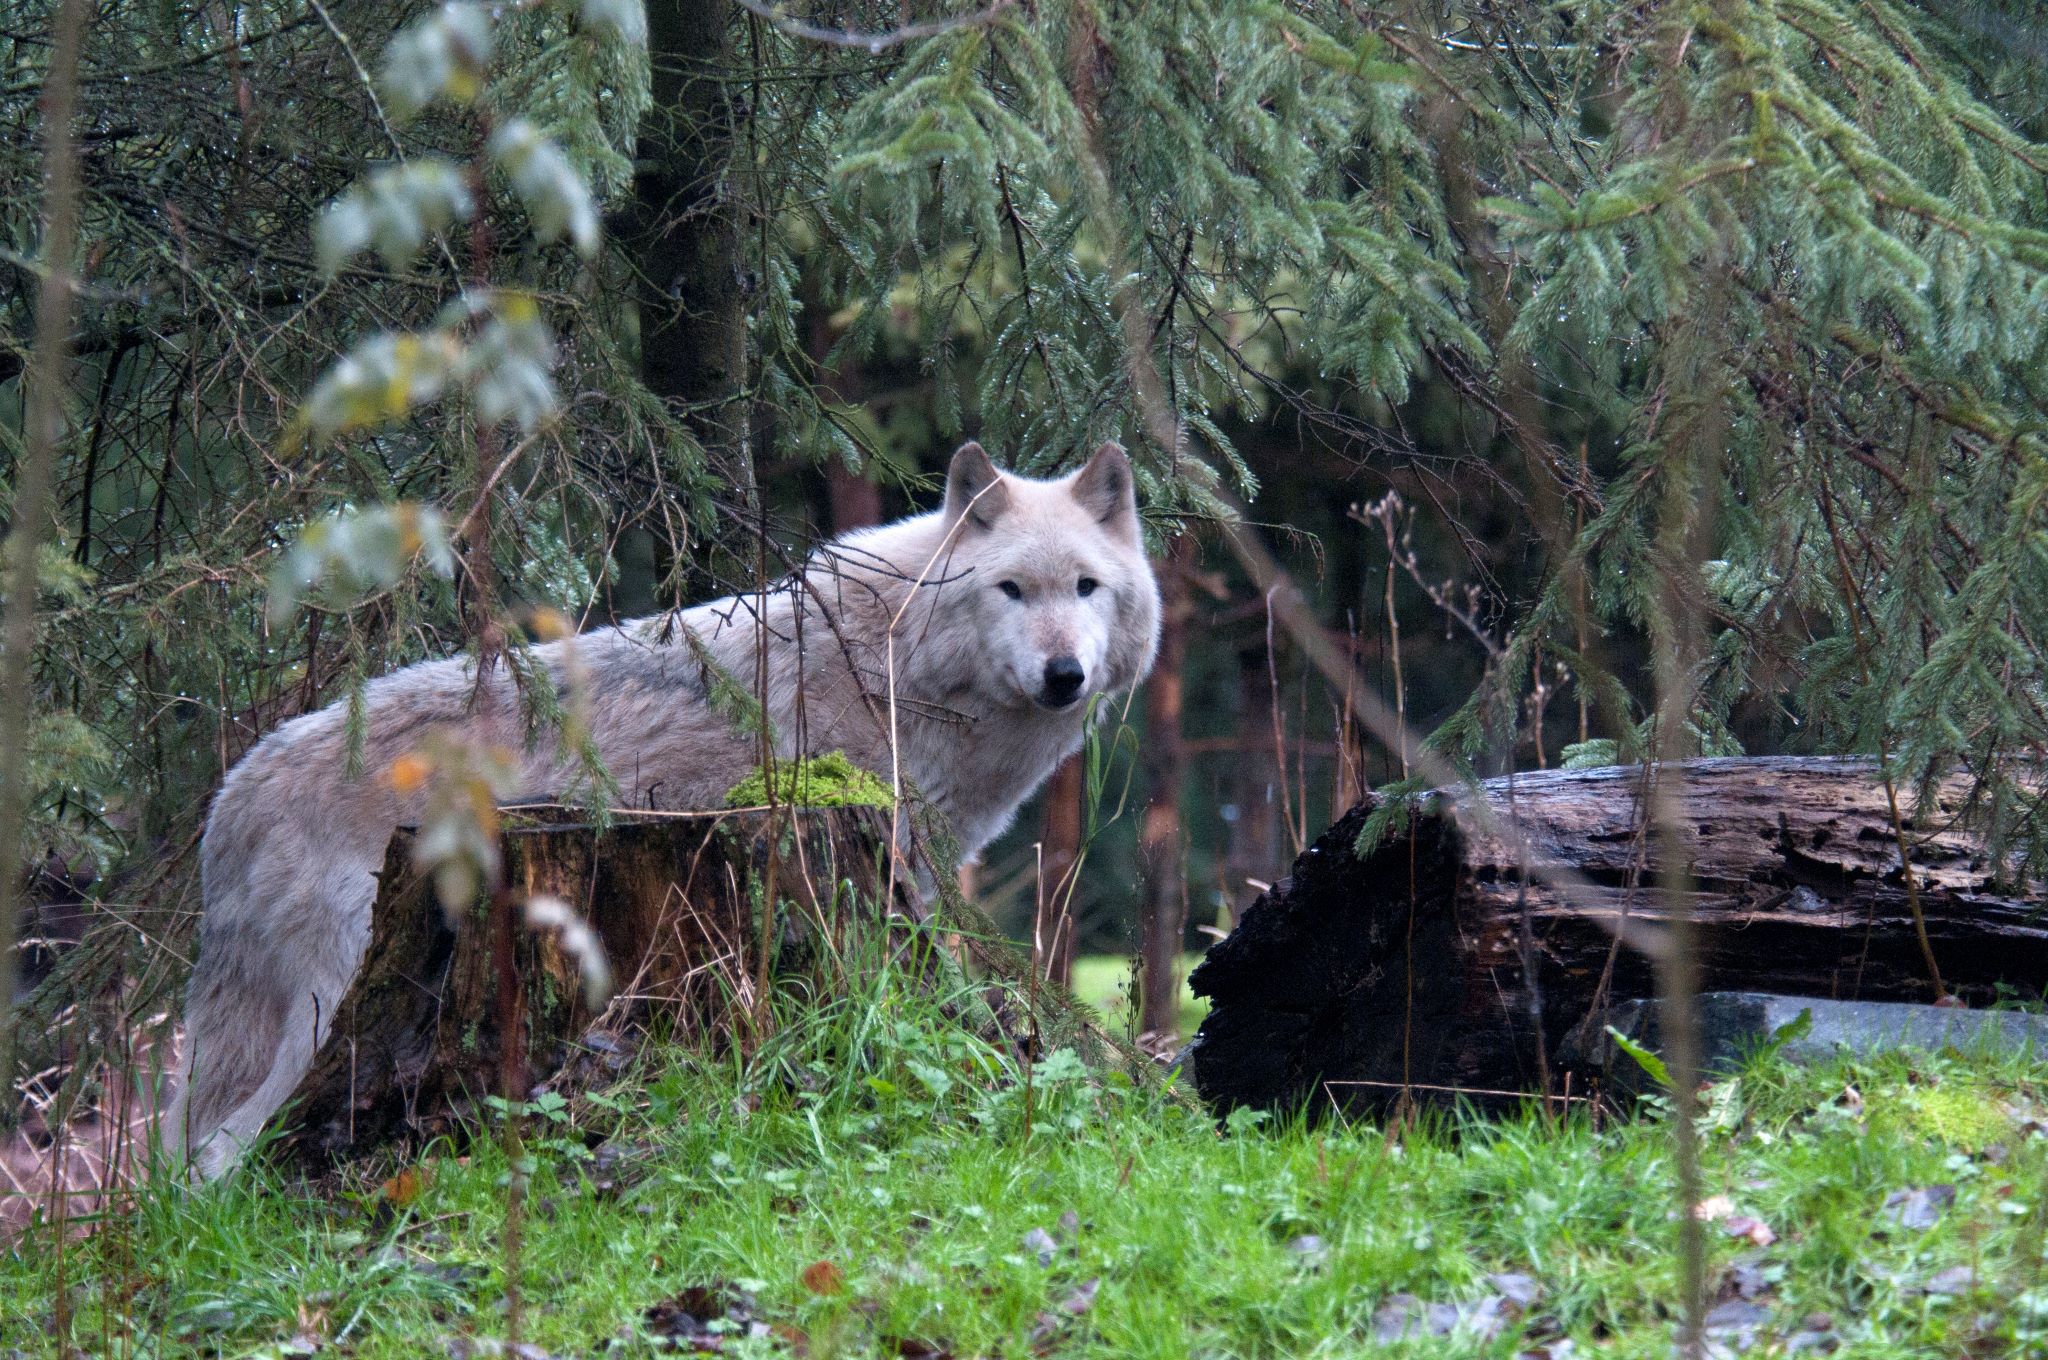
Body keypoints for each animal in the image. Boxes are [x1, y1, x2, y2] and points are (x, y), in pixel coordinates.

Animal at [166, 441, 1162, 1176]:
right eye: (1011, 590)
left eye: (1086, 588)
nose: (1064, 676)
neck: (900, 665)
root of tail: (230, 796)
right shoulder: (893, 872)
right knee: (216, 1153)